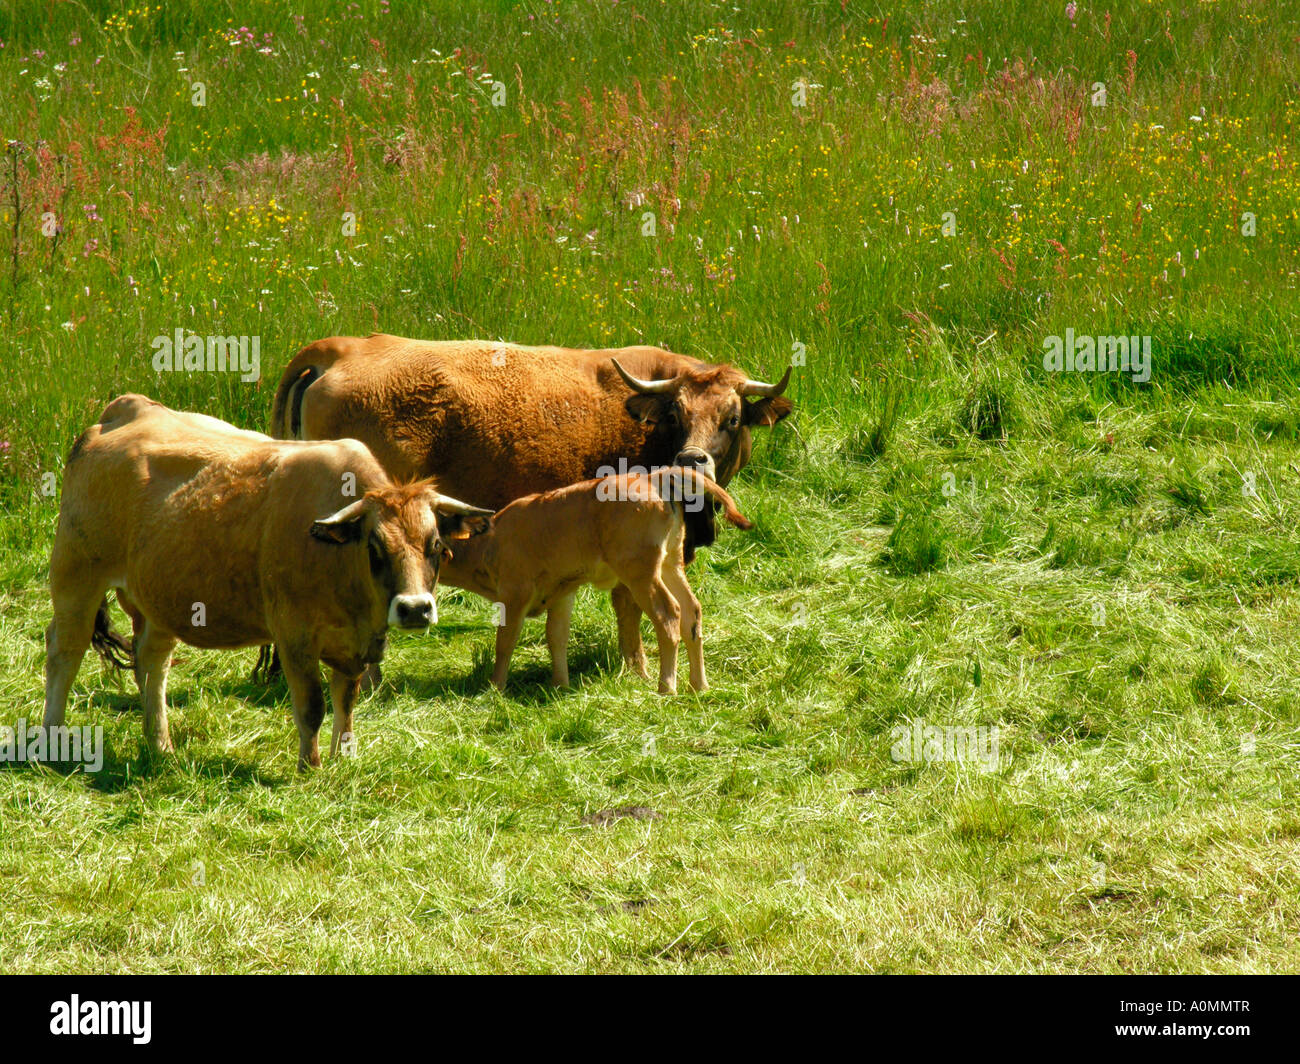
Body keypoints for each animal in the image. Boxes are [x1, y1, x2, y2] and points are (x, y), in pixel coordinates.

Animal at [42, 394, 492, 769]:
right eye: (375, 548)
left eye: (436, 546)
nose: (415, 609)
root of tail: (124, 408)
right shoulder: (294, 637)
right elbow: (312, 706)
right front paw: (310, 768)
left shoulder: (354, 645)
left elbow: (346, 701)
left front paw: (344, 759)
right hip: (76, 577)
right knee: (64, 652)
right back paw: (52, 741)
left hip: (157, 599)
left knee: (152, 662)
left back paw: (160, 745)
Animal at [448, 467, 752, 694]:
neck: (492, 540)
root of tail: (653, 477)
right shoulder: (563, 593)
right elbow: (556, 637)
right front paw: (560, 685)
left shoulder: (515, 592)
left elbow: (505, 640)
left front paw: (495, 687)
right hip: (670, 564)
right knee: (691, 612)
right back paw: (698, 685)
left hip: (641, 574)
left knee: (669, 615)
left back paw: (666, 688)